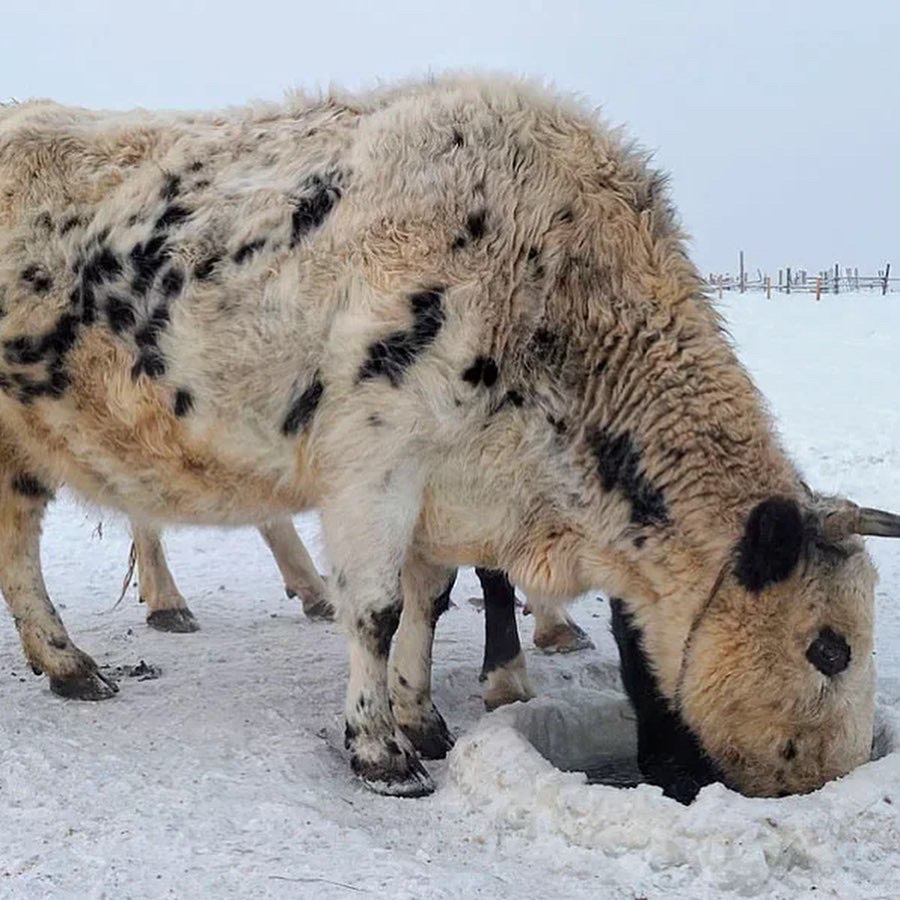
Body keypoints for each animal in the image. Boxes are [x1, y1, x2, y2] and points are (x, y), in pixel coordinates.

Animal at [0, 76, 897, 798]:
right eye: (829, 648)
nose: (835, 774)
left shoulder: (443, 491)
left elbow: (428, 603)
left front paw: (421, 716)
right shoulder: (373, 467)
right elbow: (376, 610)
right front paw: (381, 752)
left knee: (19, 552)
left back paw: (68, 664)